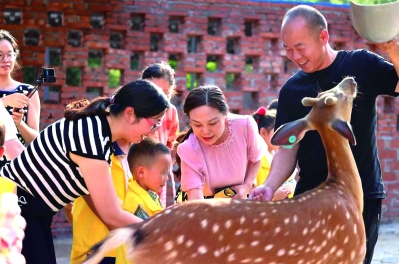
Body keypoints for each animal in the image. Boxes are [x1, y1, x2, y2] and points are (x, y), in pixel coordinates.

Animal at [83, 77, 368, 264]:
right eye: (339, 96)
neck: (344, 192)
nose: (351, 80)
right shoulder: (348, 257)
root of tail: (138, 231)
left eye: (325, 92)